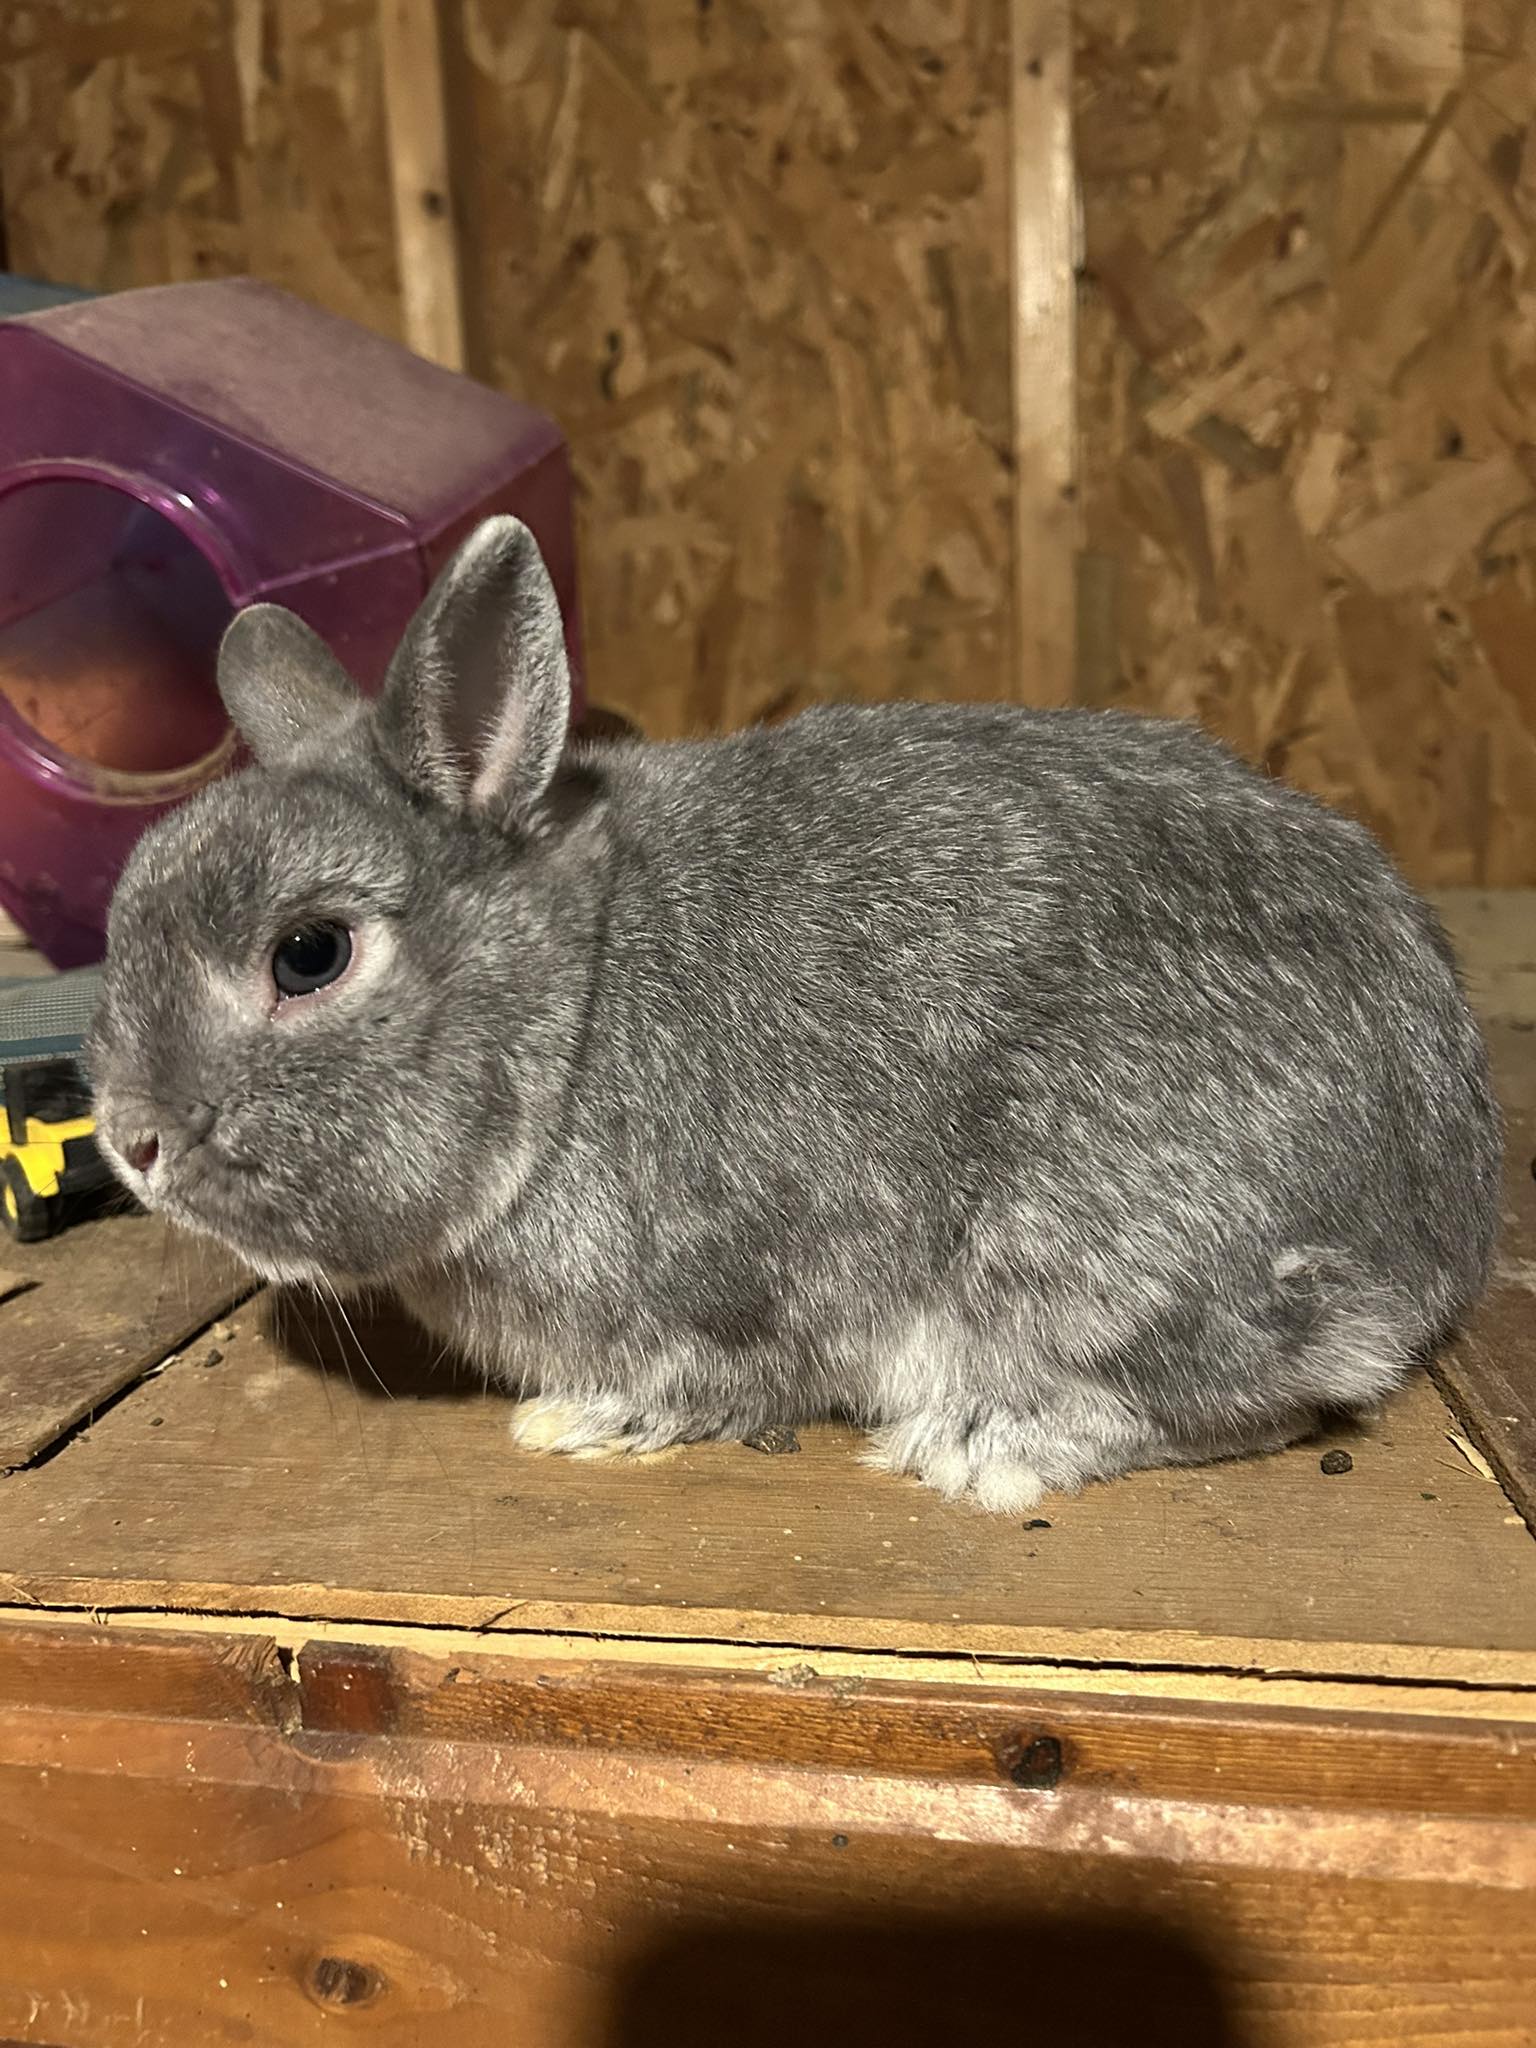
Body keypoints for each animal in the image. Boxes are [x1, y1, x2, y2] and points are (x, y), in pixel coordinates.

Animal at [88, 515, 1502, 1513]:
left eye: (309, 954)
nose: (130, 1140)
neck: (570, 1007)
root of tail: (1441, 1225)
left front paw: (585, 1421)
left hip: (1092, 1250)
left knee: (1254, 1396)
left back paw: (979, 1445)